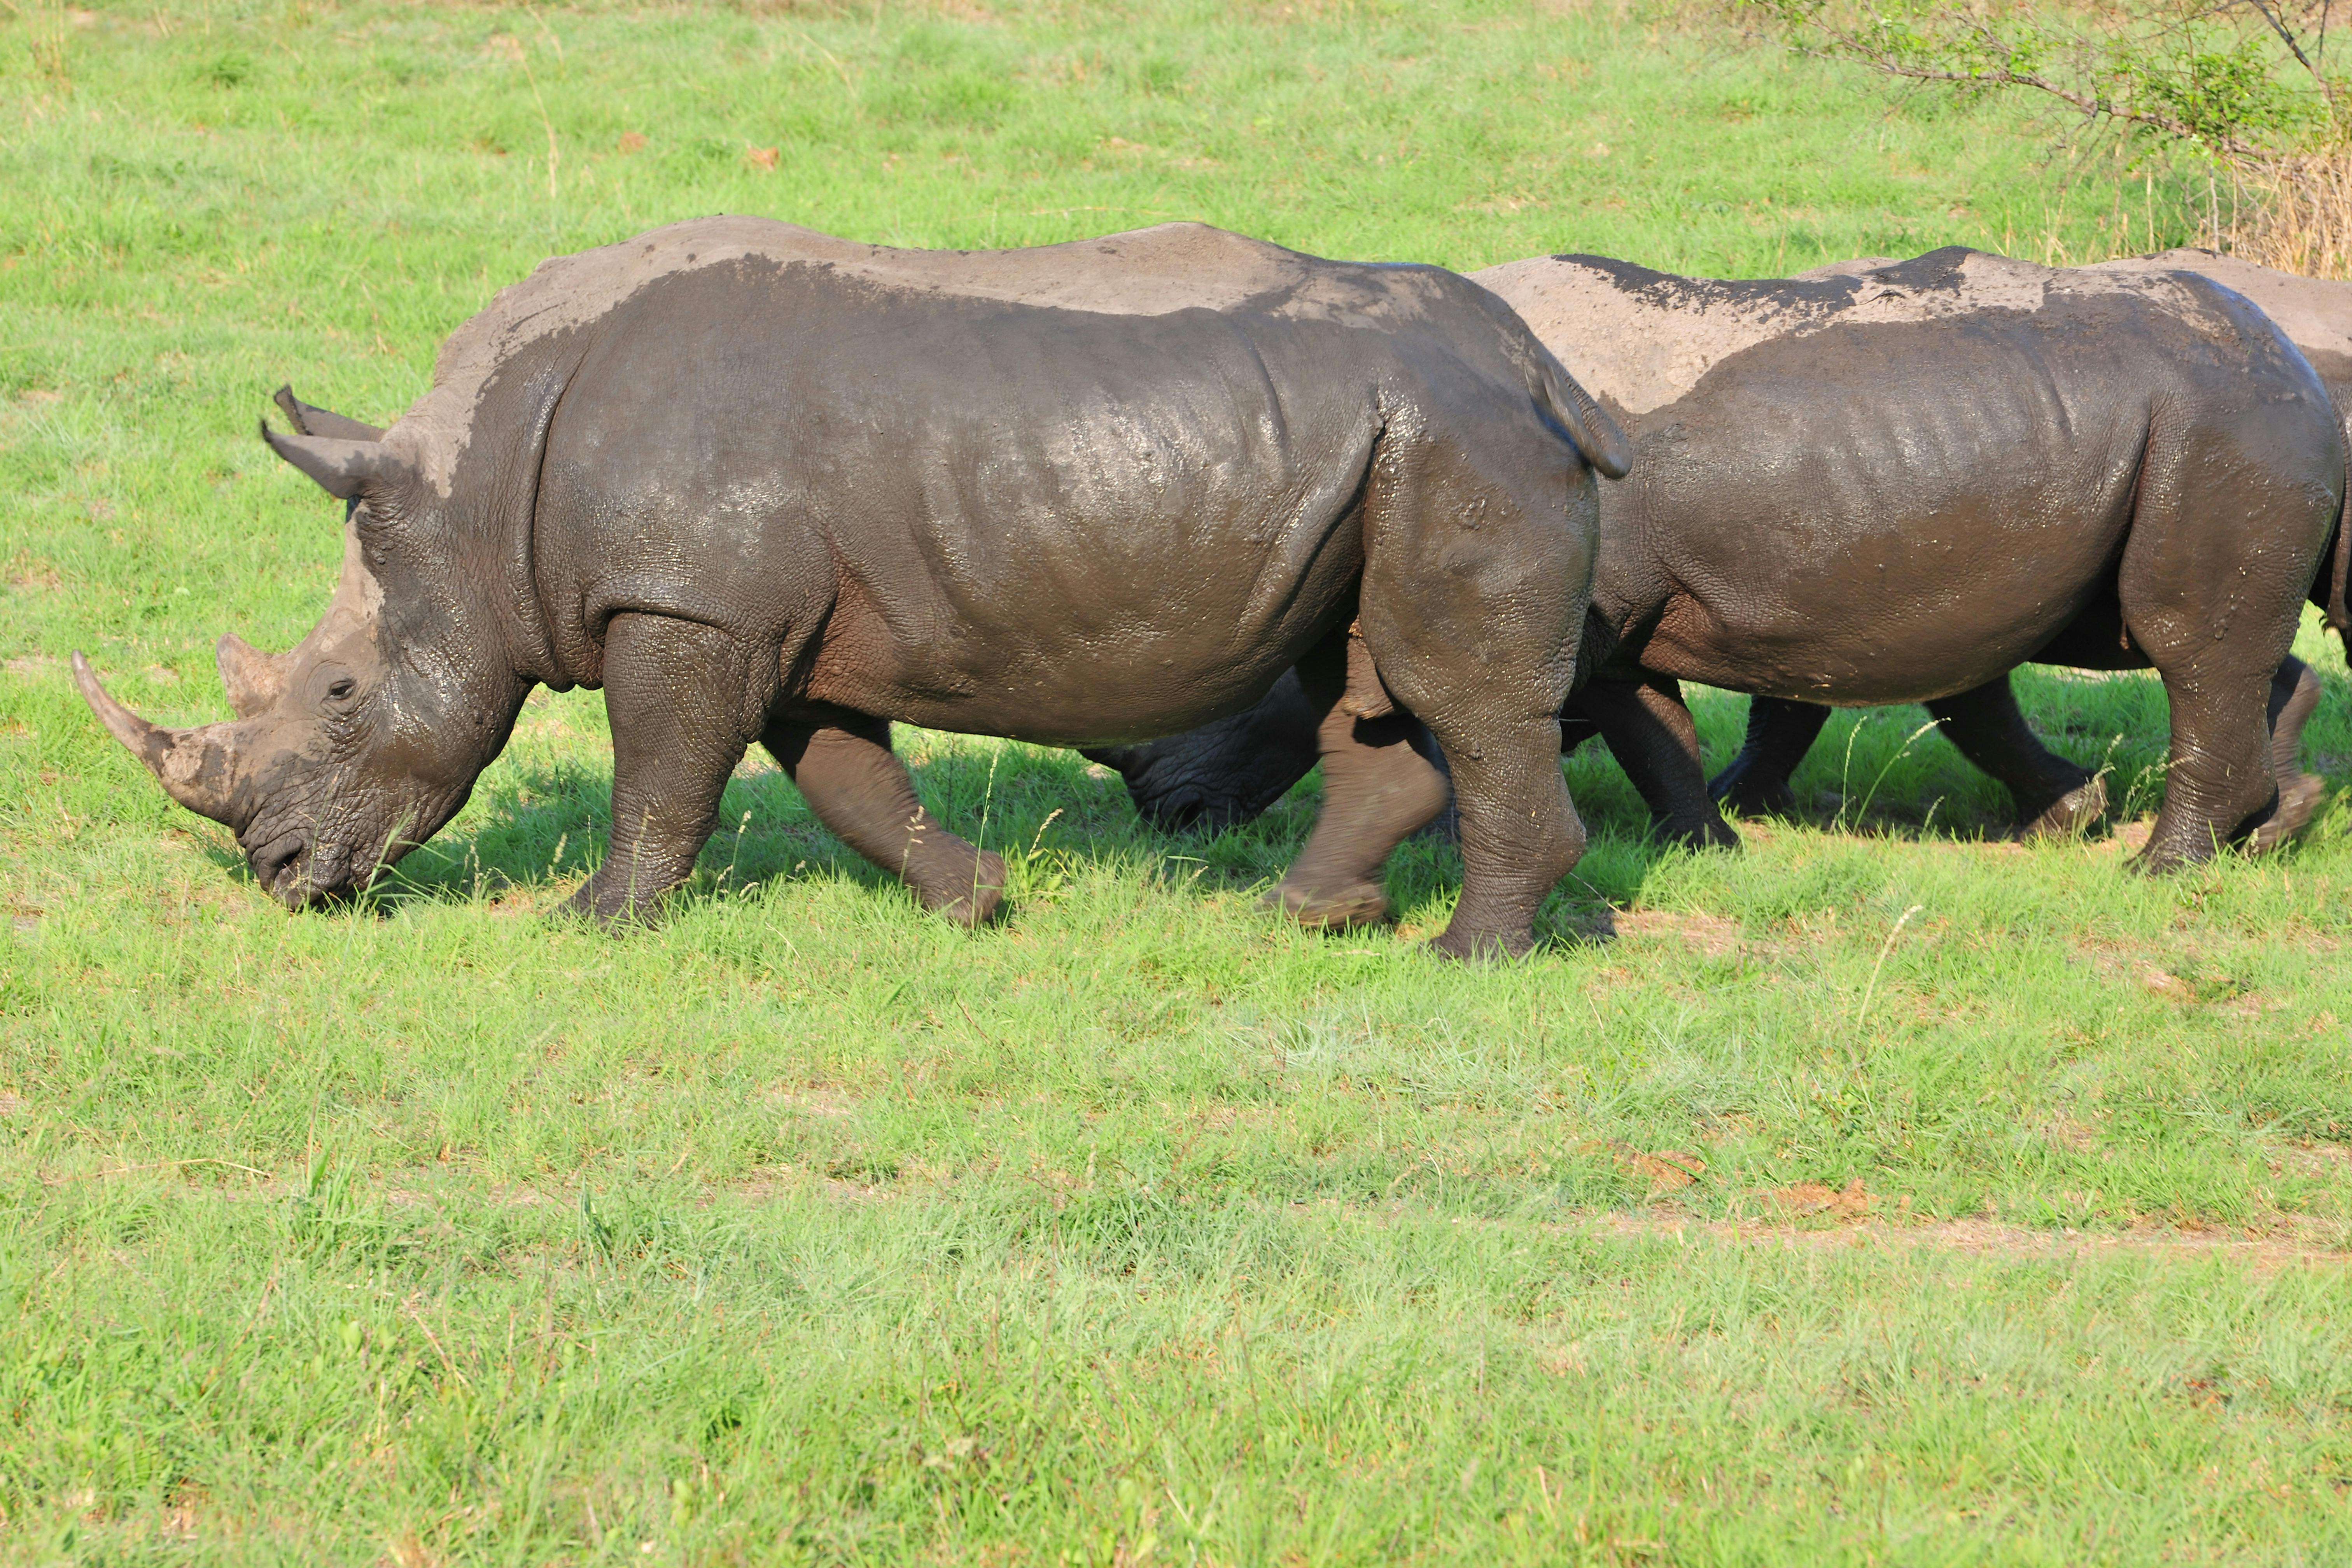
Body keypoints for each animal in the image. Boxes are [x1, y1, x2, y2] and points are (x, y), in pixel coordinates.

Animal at [74, 218, 1631, 958]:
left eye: (341, 695)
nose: (282, 877)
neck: (476, 489)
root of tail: (1537, 363)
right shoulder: (763, 619)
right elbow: (842, 778)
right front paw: (975, 903)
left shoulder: (683, 604)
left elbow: (663, 775)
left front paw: (592, 923)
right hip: (1396, 443)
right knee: (1367, 680)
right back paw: (1300, 921)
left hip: (1458, 442)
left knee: (1451, 687)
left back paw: (1468, 956)